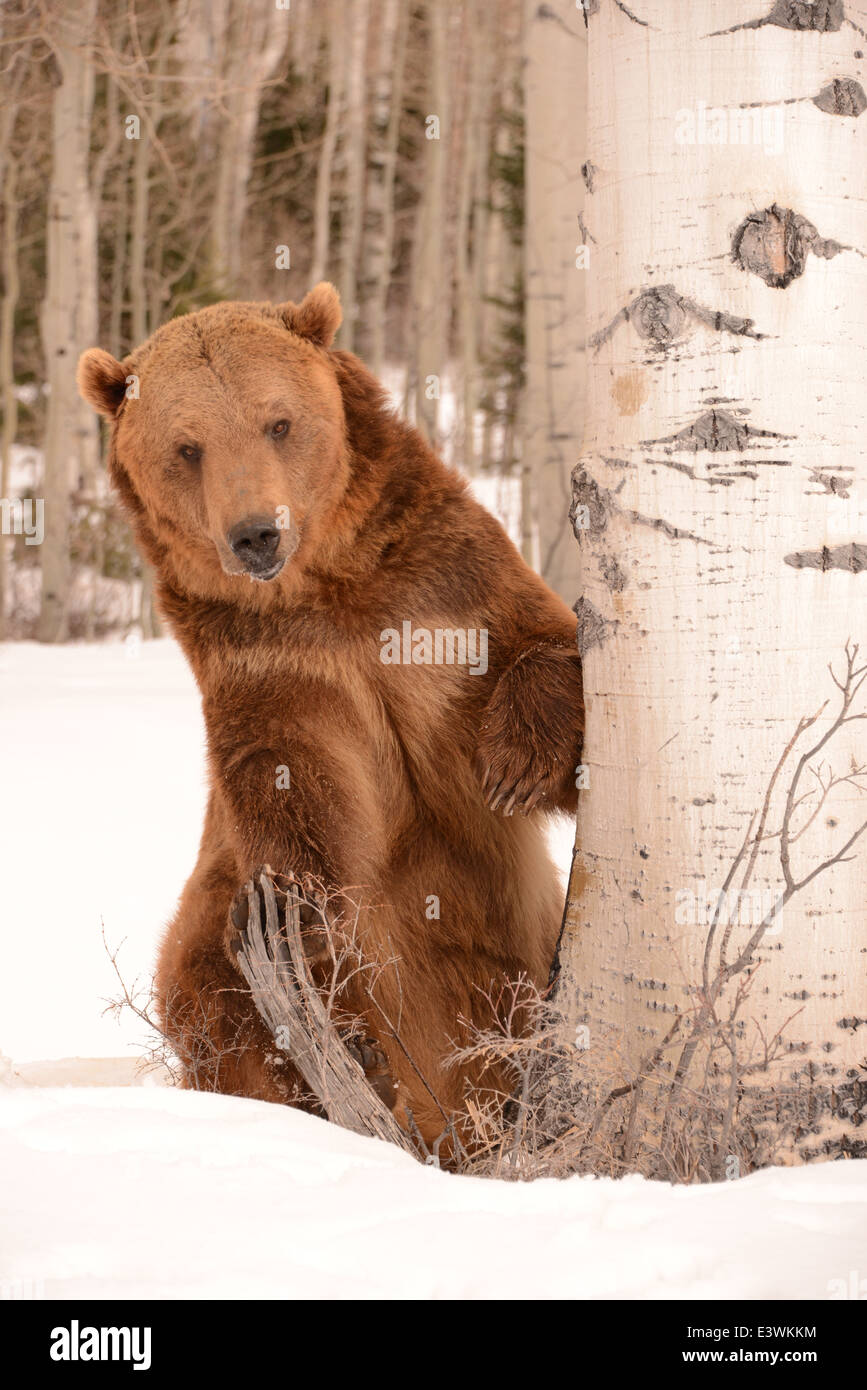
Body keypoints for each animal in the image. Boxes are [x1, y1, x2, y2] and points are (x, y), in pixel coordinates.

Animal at [77, 283, 583, 1157]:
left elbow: (543, 643)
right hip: (209, 943)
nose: (255, 534)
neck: (325, 587)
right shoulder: (280, 677)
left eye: (277, 421)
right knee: (211, 998)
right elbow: (304, 843)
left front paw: (518, 764)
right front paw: (340, 1020)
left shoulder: (435, 589)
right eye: (187, 446)